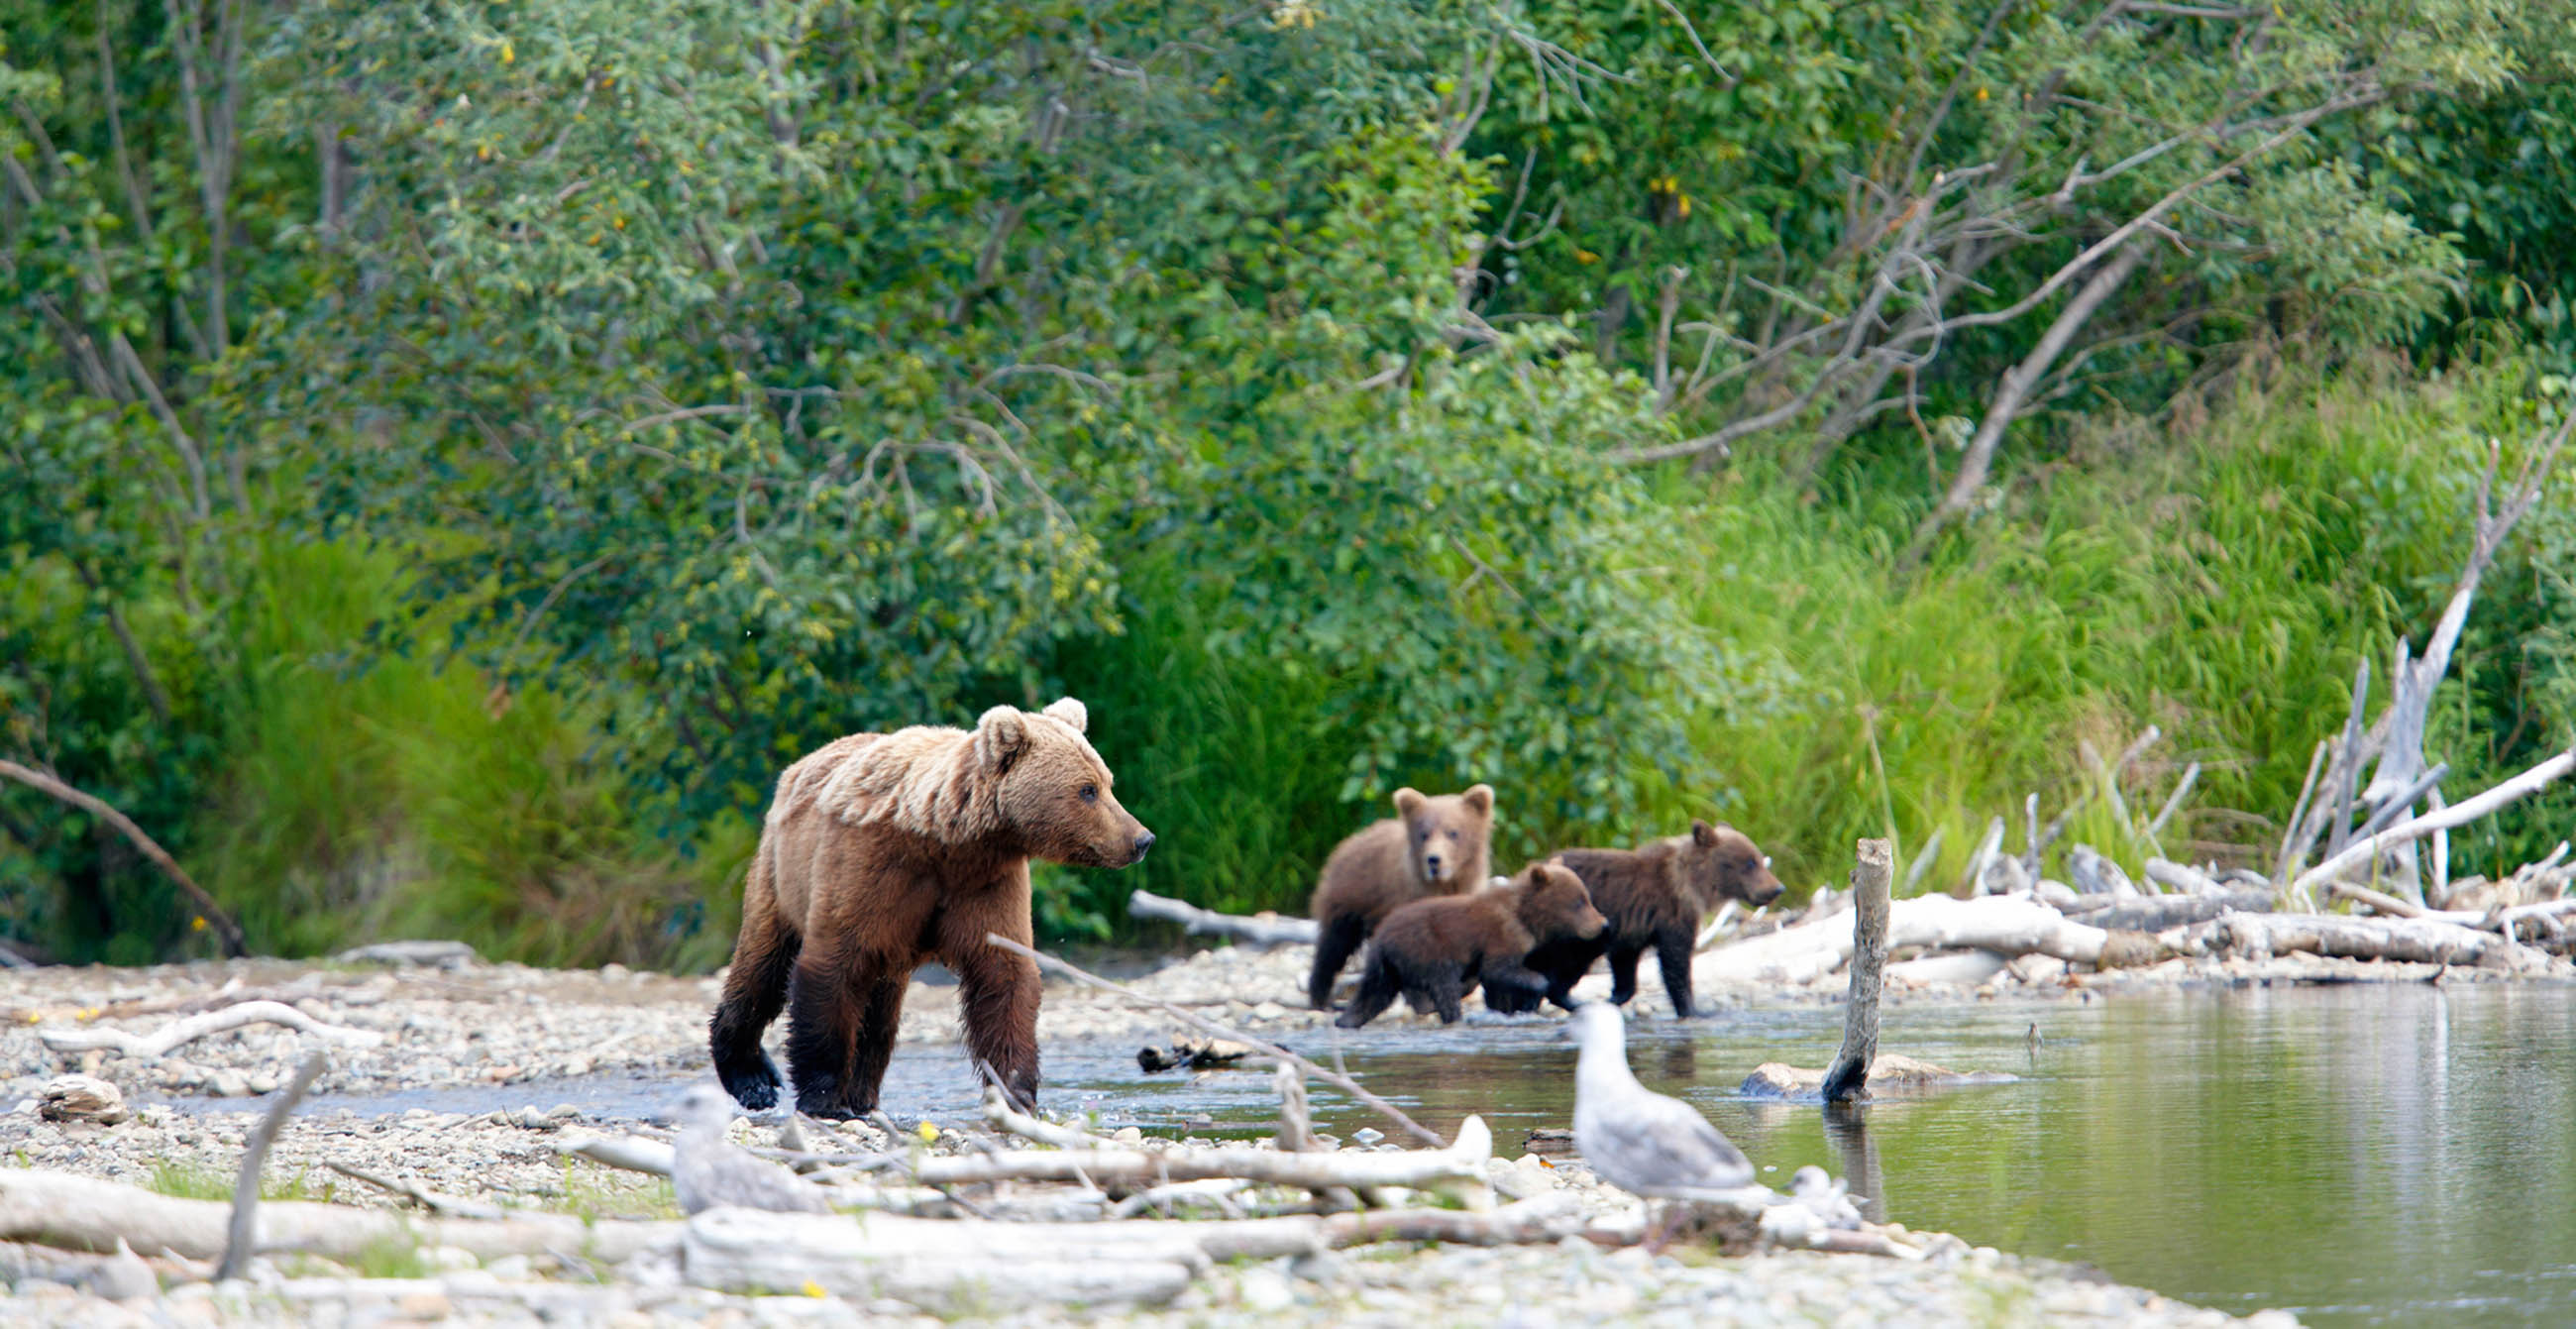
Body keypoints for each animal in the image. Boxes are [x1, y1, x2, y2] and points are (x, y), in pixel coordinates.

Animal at [706, 698, 1153, 1119]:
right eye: (1087, 790)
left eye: (1107, 783)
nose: (1141, 839)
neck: (948, 844)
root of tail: (799, 764)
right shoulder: (871, 872)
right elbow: (833, 971)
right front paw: (823, 1097)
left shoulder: (985, 886)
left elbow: (1004, 977)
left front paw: (1017, 1092)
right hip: (780, 875)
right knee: (762, 970)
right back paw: (753, 1079)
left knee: (879, 1015)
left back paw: (862, 1096)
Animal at [1304, 784, 1495, 1011]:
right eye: (1424, 834)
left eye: (1453, 832)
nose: (1434, 859)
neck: (1445, 886)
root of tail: (1349, 842)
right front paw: (1422, 999)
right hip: (1350, 900)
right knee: (1334, 945)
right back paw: (1320, 998)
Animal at [1334, 858, 1607, 1028]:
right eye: (1579, 902)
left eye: (1587, 897)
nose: (1603, 923)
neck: (1525, 918)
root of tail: (1382, 938)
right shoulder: (1501, 935)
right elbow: (1500, 969)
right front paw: (1534, 991)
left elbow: (1496, 985)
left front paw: (1508, 1008)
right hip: (1428, 950)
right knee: (1444, 987)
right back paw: (1450, 1014)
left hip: (1383, 965)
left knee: (1372, 994)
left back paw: (1345, 1020)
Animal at [1488, 821, 1783, 1019]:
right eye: (1750, 862)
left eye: (1758, 858)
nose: (1777, 888)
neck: (1691, 884)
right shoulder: (1671, 914)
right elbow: (1675, 961)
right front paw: (1692, 1008)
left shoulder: (1632, 928)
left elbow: (1625, 967)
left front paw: (1616, 995)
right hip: (1573, 933)